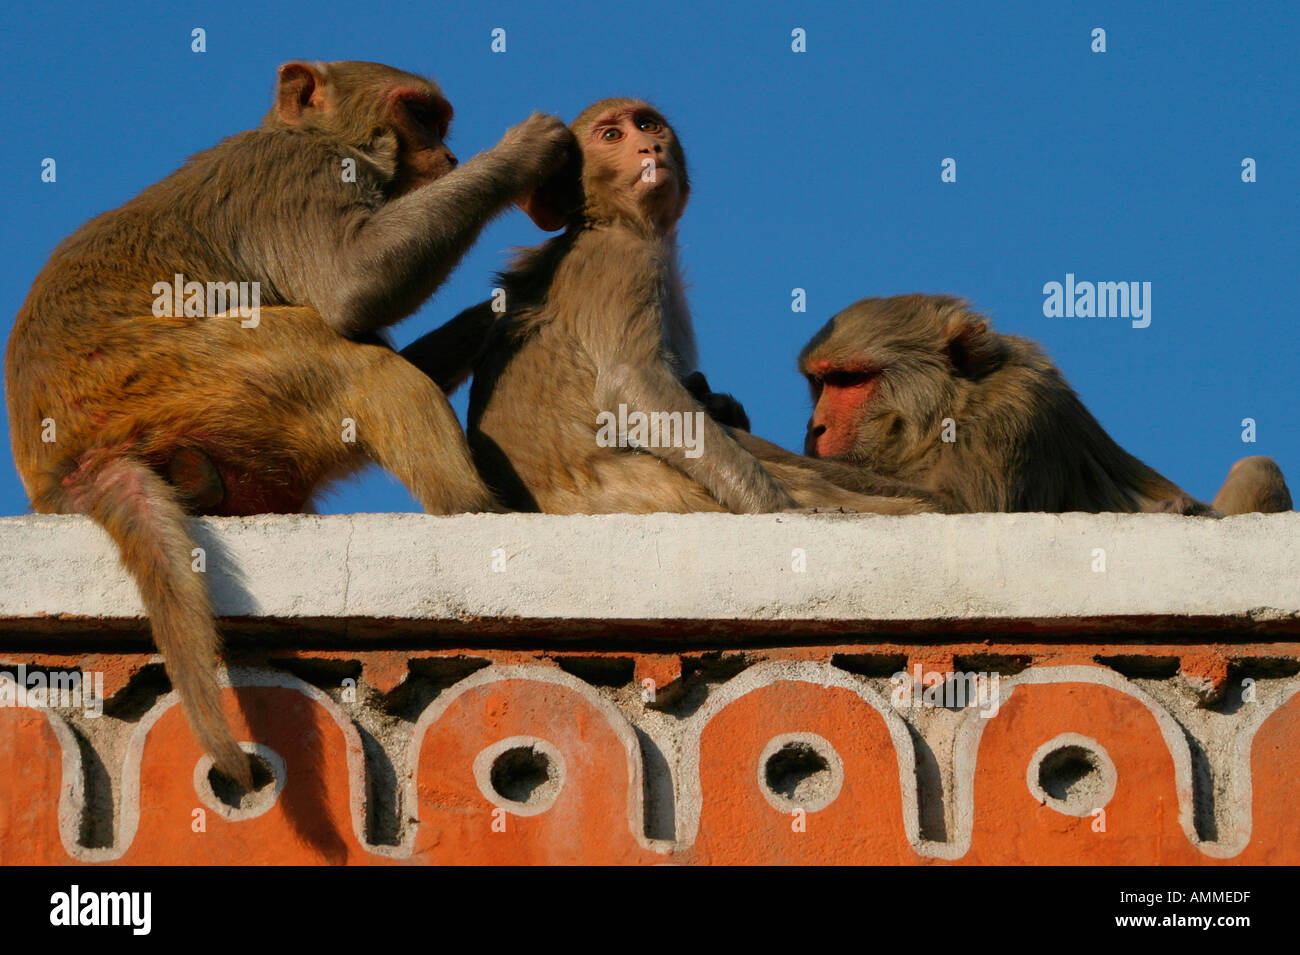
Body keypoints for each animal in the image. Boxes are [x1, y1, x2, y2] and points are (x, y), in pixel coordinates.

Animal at [6, 60, 573, 786]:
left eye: (439, 124)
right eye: (420, 116)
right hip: (182, 383)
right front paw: (526, 150)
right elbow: (351, 287)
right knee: (354, 364)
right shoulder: (305, 172)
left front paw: (497, 313)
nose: (448, 158)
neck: (307, 133)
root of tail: (69, 474)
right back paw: (474, 510)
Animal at [401, 99, 934, 516]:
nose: (649, 148)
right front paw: (773, 504)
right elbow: (634, 386)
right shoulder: (625, 262)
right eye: (612, 135)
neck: (614, 221)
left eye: (647, 124)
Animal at [798, 294, 1290, 514]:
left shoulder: (1015, 411)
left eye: (850, 380)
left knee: (1258, 465)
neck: (957, 408)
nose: (815, 427)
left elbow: (961, 508)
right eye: (820, 383)